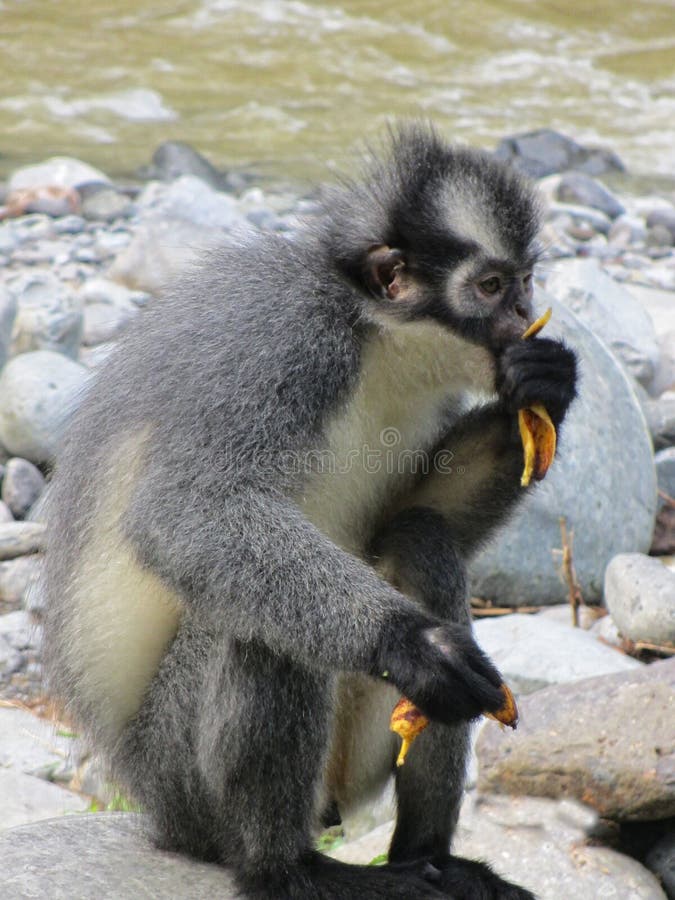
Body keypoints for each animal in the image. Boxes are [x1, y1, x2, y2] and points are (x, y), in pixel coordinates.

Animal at [42, 123, 577, 899]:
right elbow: (184, 513)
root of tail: (148, 801)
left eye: (525, 282)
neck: (375, 333)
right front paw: (411, 644)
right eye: (490, 286)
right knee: (262, 632)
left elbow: (425, 514)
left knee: (421, 539)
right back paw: (284, 868)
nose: (519, 317)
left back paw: (426, 855)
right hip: (179, 779)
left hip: (347, 770)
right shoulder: (287, 340)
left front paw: (544, 388)